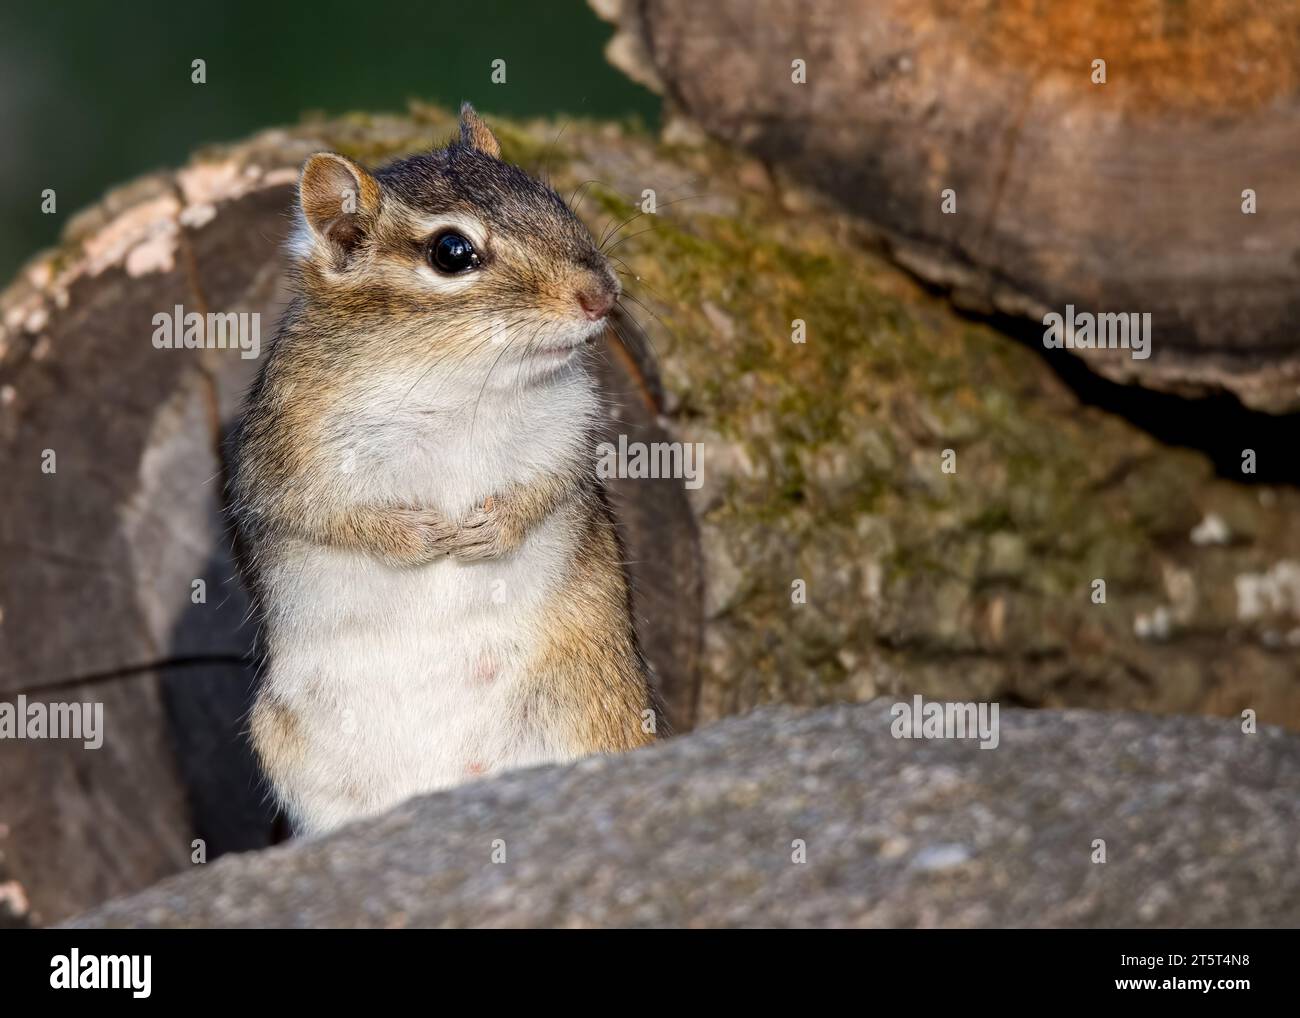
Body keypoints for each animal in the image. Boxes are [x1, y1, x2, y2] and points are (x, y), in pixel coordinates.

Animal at [229, 104, 657, 837]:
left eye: (549, 197)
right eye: (452, 253)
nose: (603, 296)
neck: (455, 381)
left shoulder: (568, 434)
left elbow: (549, 489)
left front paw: (490, 529)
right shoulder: (283, 461)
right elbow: (323, 517)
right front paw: (416, 536)